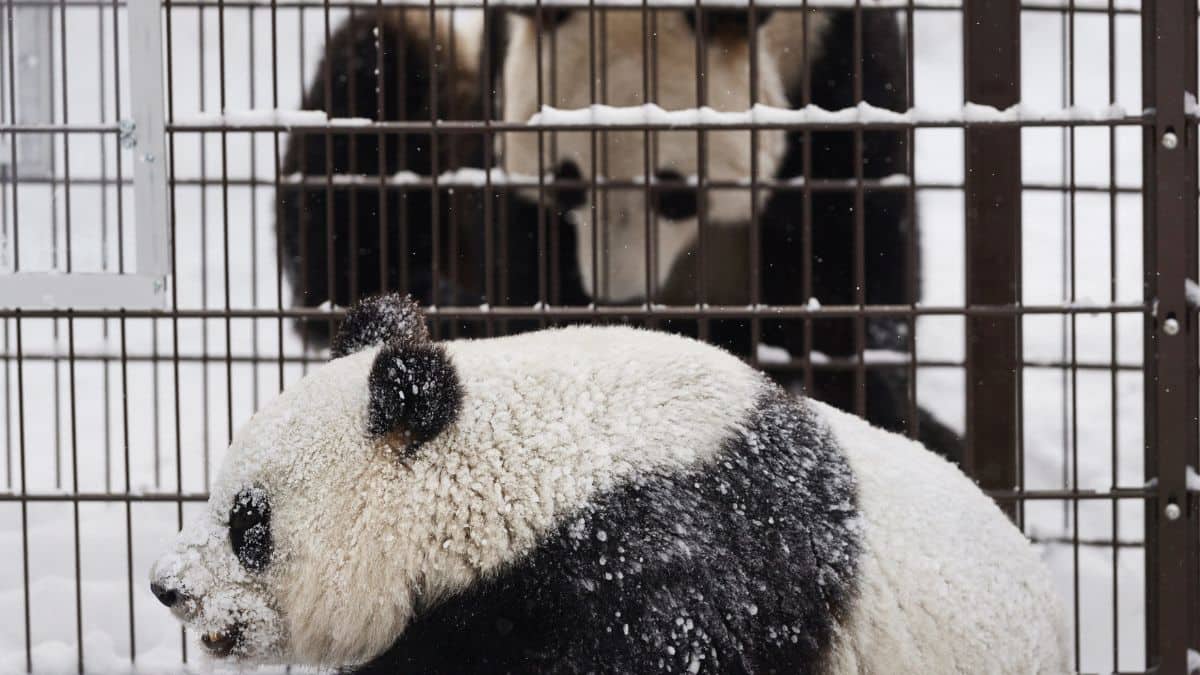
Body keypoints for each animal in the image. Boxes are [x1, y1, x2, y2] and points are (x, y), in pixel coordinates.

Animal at [276, 8, 961, 461]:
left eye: (676, 191)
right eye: (567, 185)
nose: (619, 301)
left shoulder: (837, 54)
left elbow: (856, 251)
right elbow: (520, 262)